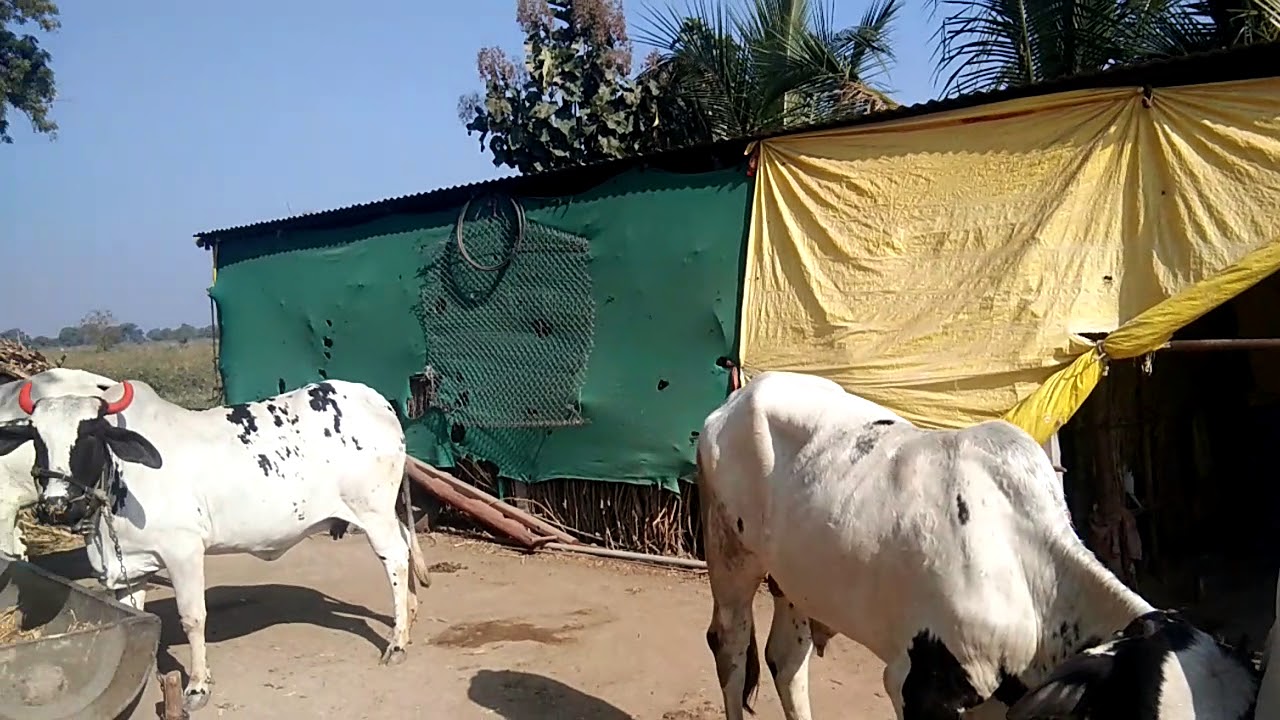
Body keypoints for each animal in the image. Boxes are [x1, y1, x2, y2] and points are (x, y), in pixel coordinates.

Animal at [696, 370, 1258, 720]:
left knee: (786, 659)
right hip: (730, 557)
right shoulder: (915, 685)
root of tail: (743, 394)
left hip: (797, 580)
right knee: (730, 647)